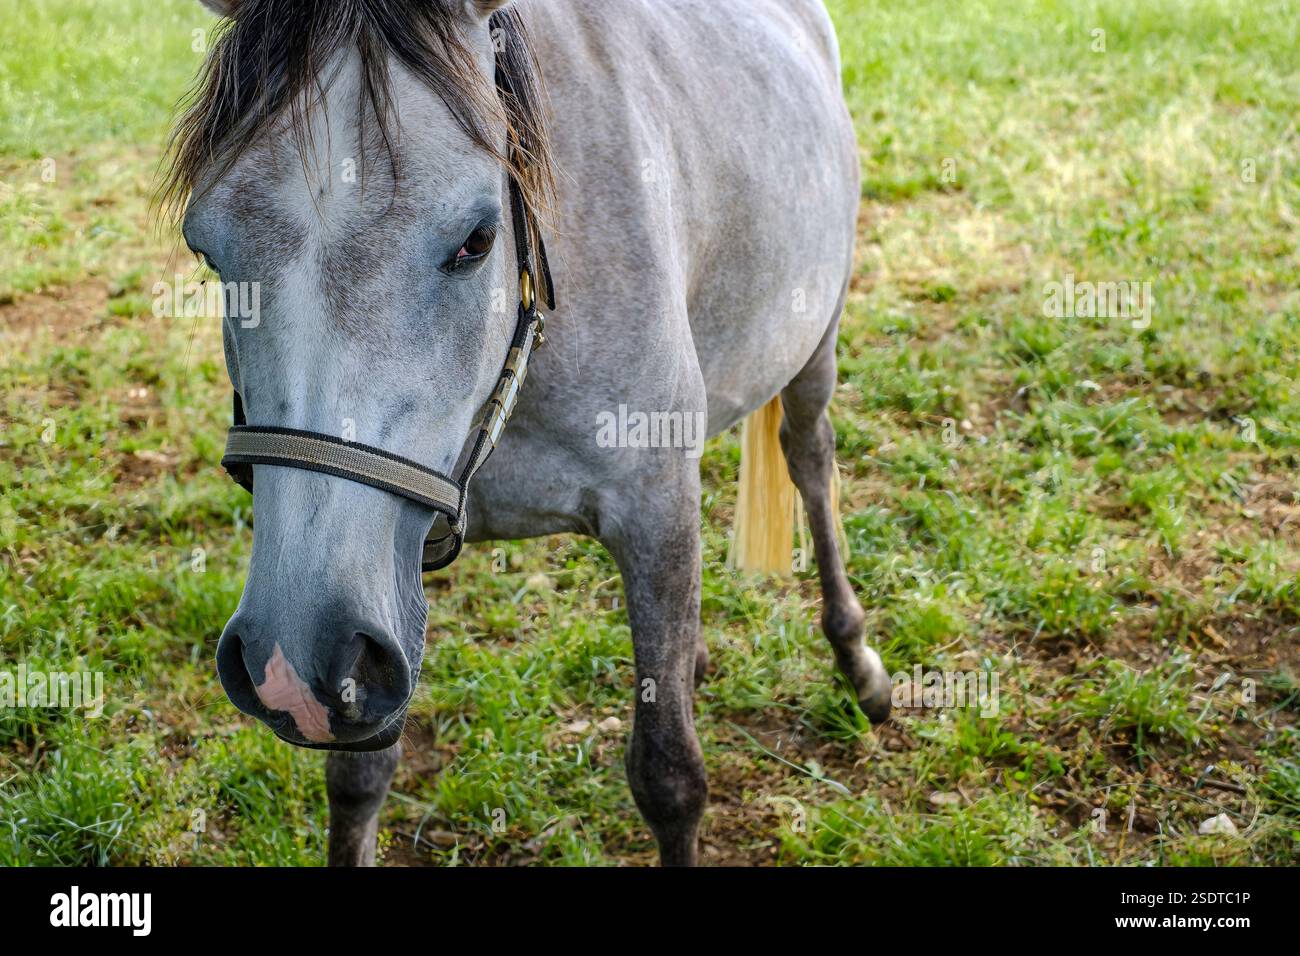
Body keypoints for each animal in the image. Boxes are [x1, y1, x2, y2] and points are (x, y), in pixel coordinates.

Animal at [167, 0, 891, 866]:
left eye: (476, 240)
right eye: (208, 251)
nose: (291, 663)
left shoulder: (653, 508)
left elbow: (670, 776)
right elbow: (358, 778)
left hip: (816, 346)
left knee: (811, 464)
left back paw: (857, 663)